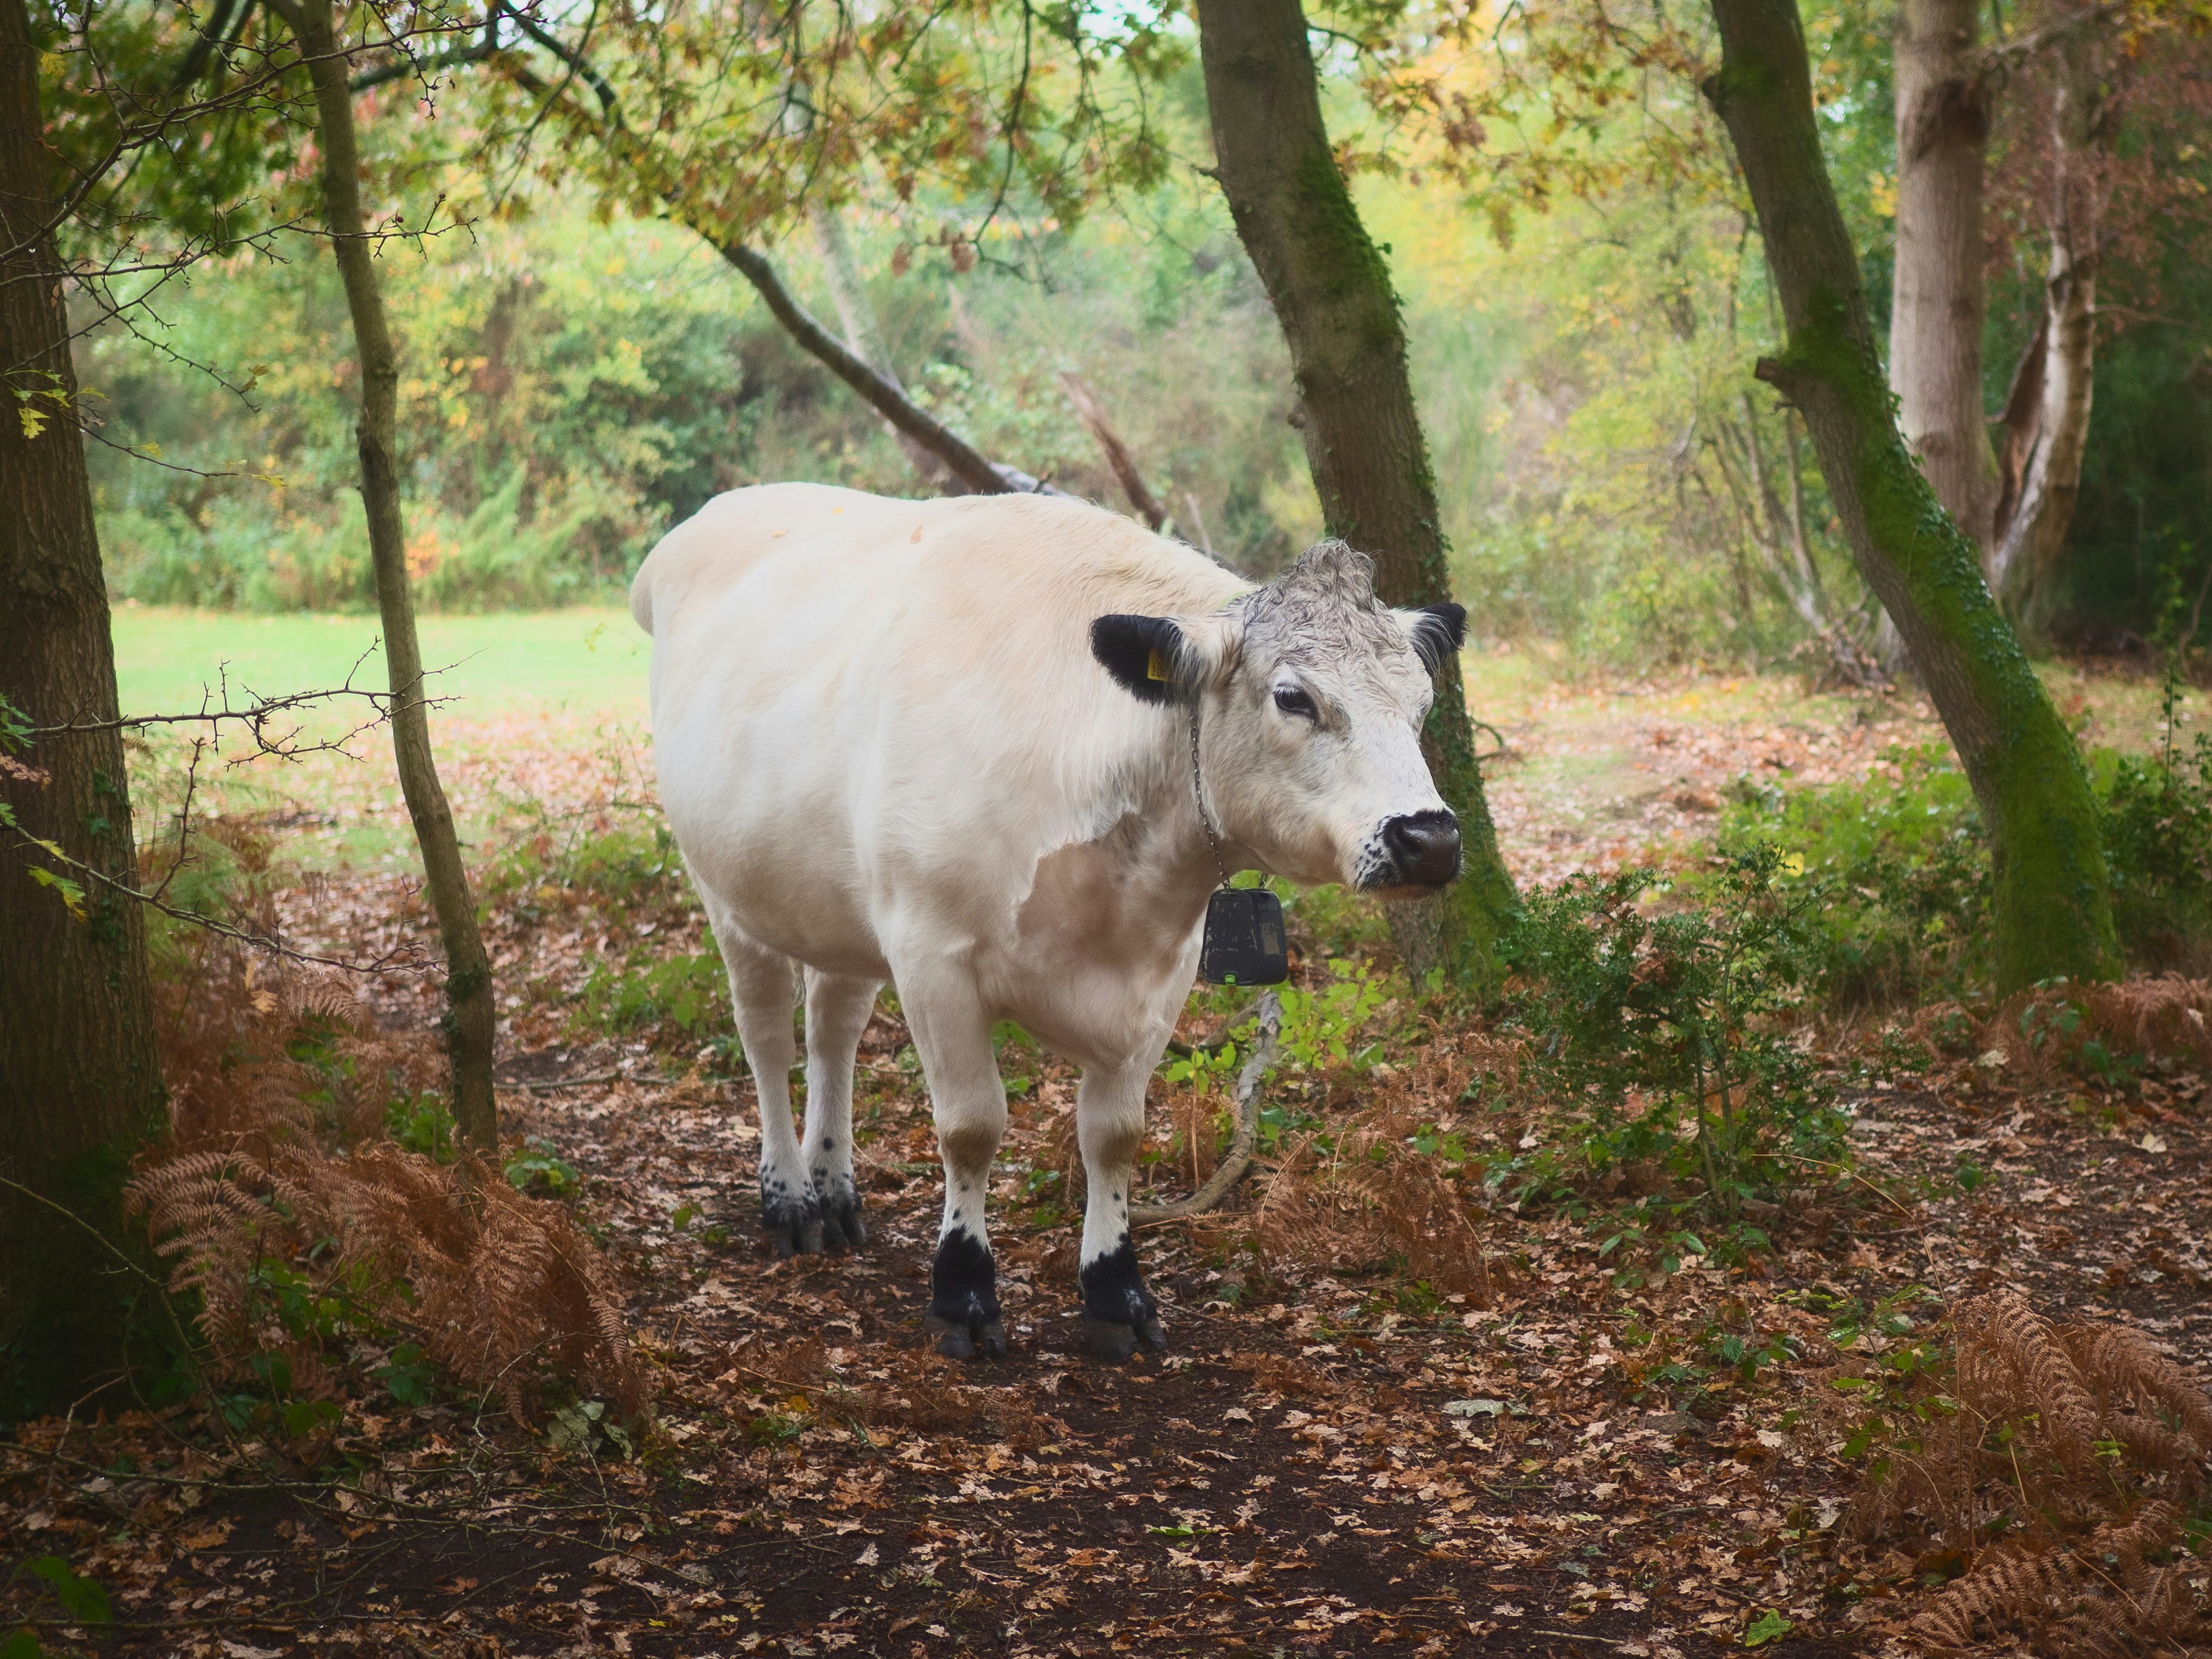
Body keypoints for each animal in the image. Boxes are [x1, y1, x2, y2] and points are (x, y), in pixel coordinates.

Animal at [630, 483, 1466, 1361]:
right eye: (1293, 697)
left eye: (1423, 702)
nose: (1430, 838)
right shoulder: (932, 955)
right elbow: (971, 1126)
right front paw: (963, 1291)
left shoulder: (1161, 977)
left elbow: (1115, 1133)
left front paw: (1116, 1289)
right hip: (728, 896)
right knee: (767, 1038)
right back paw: (790, 1197)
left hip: (838, 910)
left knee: (834, 1032)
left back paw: (835, 1188)